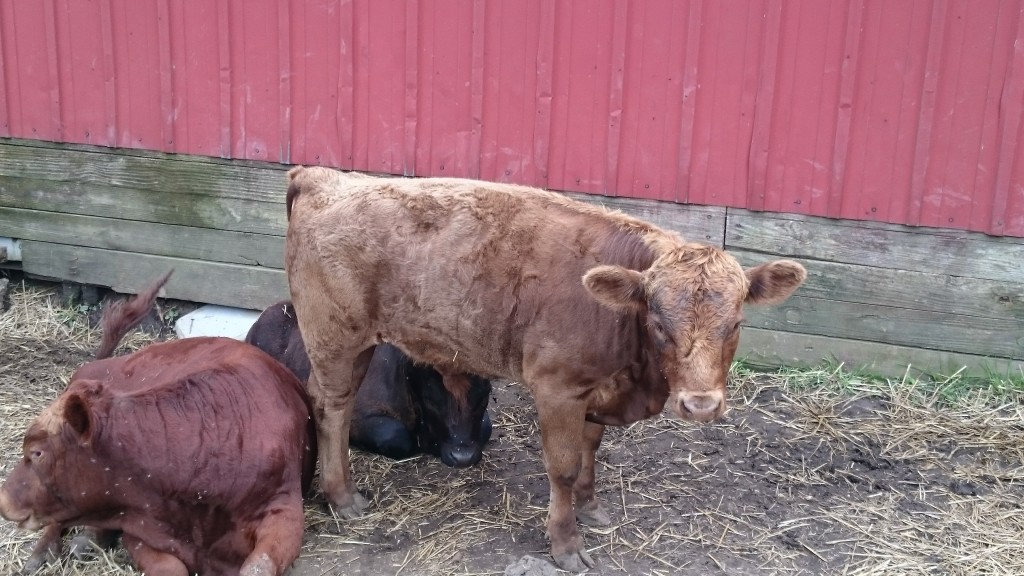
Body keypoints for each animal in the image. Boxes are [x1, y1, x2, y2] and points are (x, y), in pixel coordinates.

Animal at [0, 273, 316, 576]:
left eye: (37, 452)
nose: (2, 500)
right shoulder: (140, 530)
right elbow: (170, 568)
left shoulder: (283, 510)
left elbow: (257, 566)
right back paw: (47, 550)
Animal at [284, 166, 806, 572]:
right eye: (657, 323)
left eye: (737, 322)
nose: (700, 405)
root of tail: (322, 176)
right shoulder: (558, 387)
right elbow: (564, 467)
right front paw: (566, 543)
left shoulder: (596, 389)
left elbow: (591, 450)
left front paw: (591, 508)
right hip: (335, 337)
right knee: (331, 405)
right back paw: (342, 497)